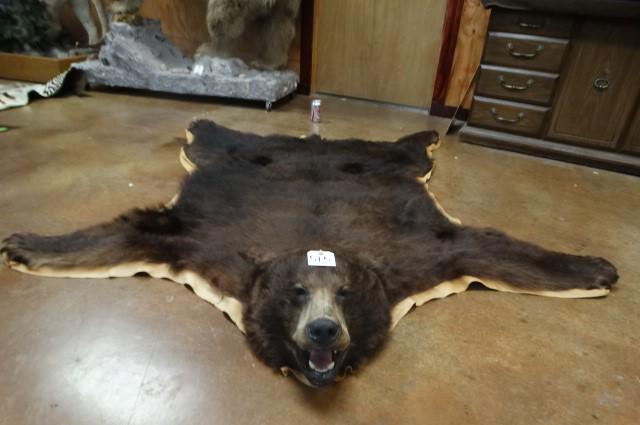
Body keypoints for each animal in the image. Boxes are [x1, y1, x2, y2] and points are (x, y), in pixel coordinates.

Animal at [1, 120, 619, 387]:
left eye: (345, 294)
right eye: (297, 293)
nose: (325, 329)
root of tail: (314, 141)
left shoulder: (419, 252)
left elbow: (482, 245)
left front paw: (596, 267)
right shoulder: (203, 239)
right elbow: (136, 228)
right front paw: (25, 244)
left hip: (382, 167)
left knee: (402, 153)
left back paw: (425, 134)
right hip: (243, 158)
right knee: (221, 139)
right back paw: (203, 120)